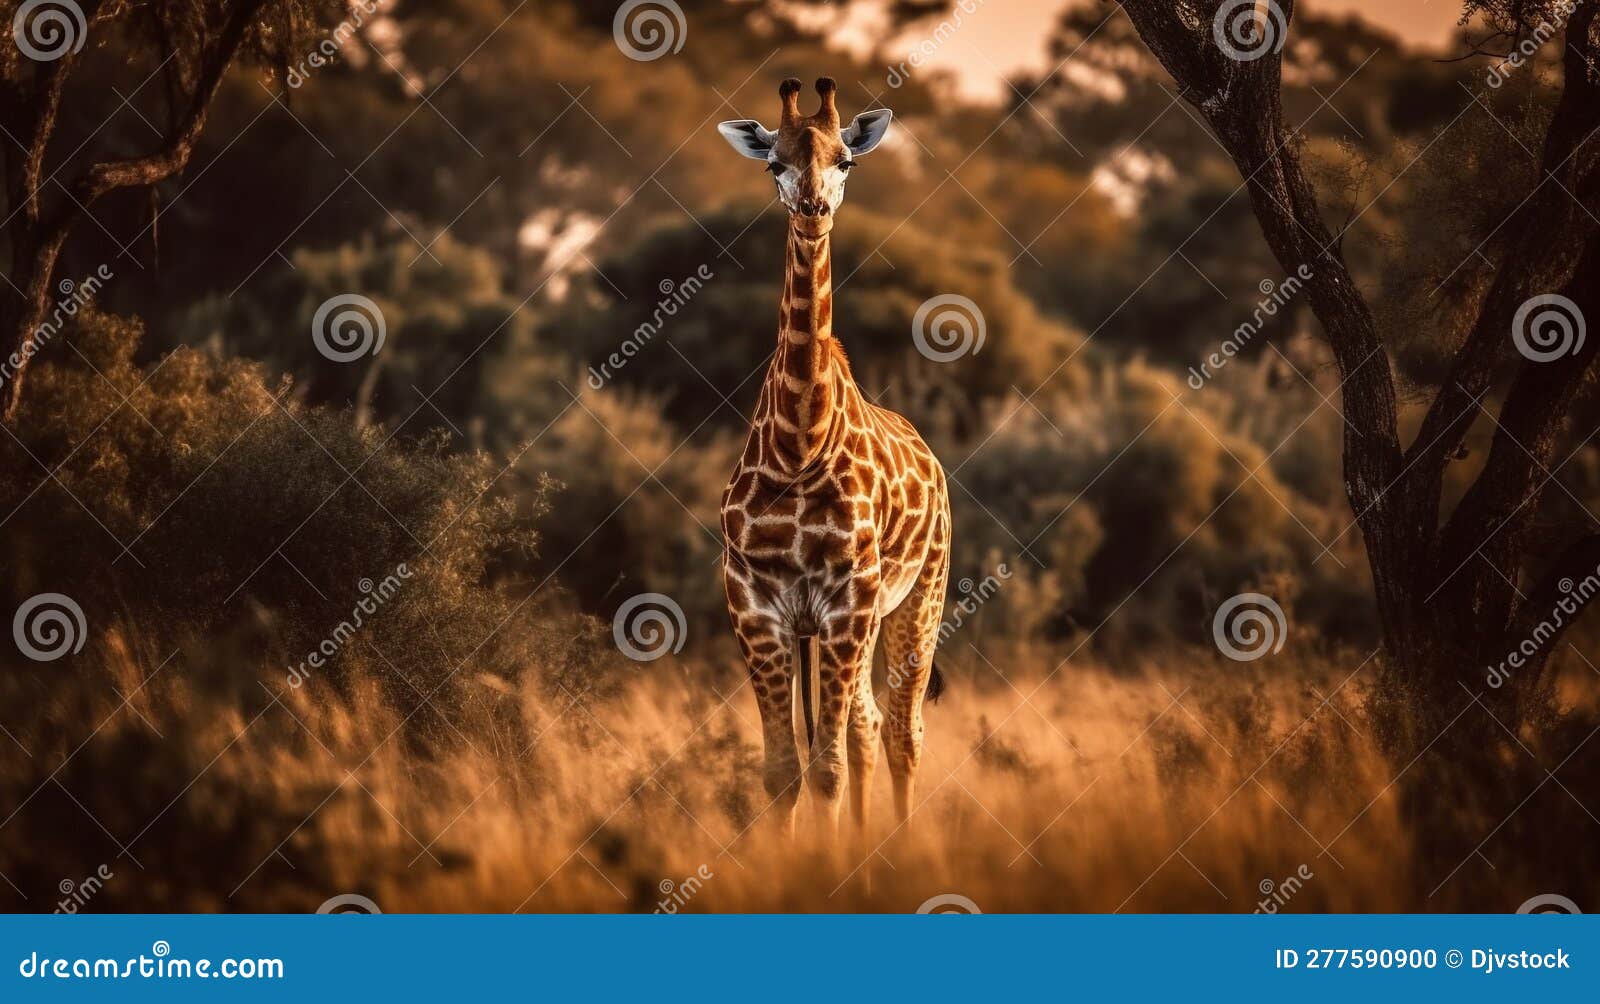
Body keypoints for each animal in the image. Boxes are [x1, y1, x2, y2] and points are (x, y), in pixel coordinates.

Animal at [716, 78, 951, 834]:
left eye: (845, 159)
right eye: (774, 162)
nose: (814, 208)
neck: (798, 442)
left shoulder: (848, 600)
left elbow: (825, 769)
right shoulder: (756, 604)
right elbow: (782, 770)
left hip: (916, 598)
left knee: (898, 731)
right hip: (837, 624)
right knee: (865, 725)